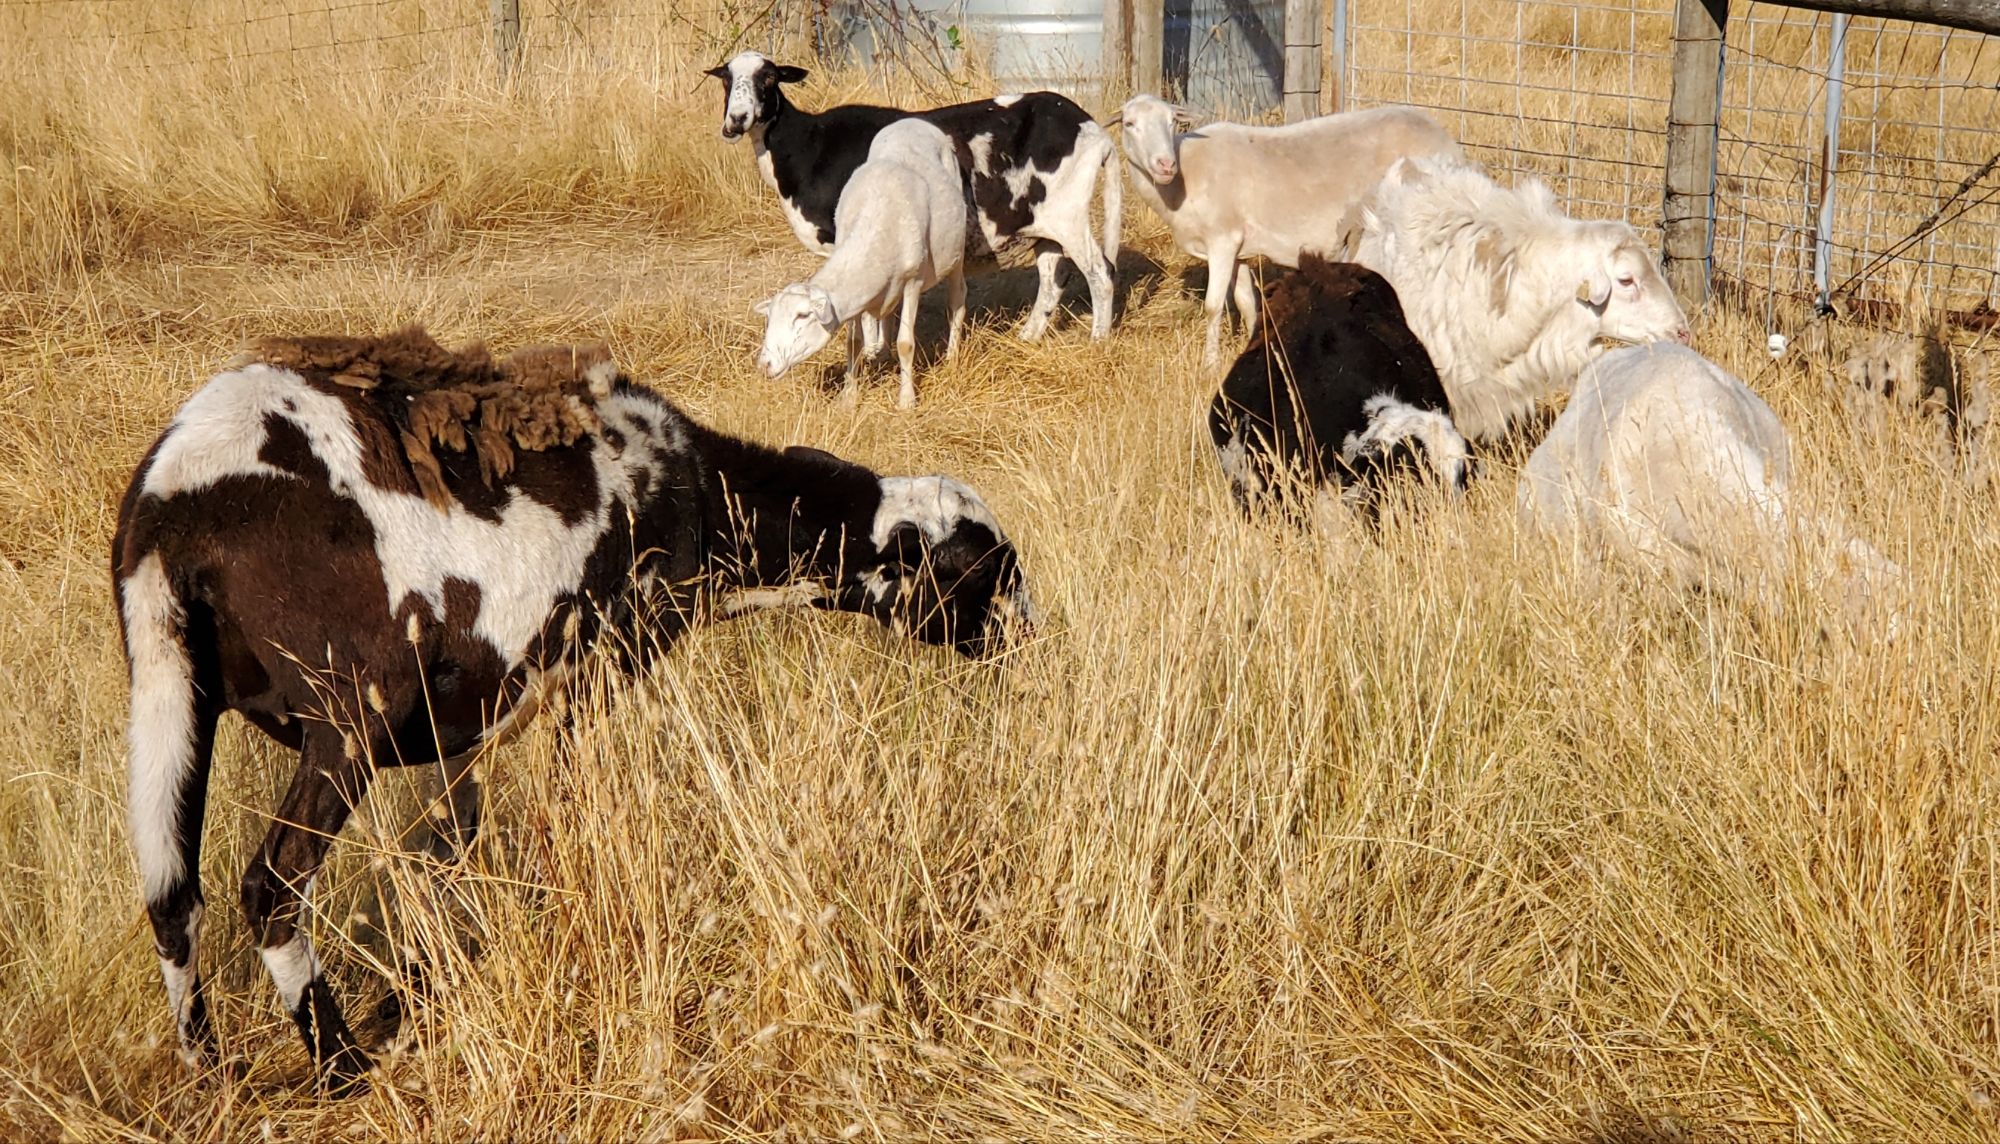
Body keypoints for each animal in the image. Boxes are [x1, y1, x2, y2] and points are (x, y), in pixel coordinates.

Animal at [113, 328, 1035, 1094]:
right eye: (978, 568)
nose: (1030, 640)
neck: (708, 499)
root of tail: (172, 506)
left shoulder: (461, 721)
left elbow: (449, 850)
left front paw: (433, 980)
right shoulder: (603, 668)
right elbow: (565, 814)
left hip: (171, 689)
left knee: (173, 899)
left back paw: (210, 1070)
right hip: (349, 716)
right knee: (273, 885)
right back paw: (340, 1070)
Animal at [755, 118, 967, 410]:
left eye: (802, 316)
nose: (765, 365)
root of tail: (915, 120)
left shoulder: (913, 282)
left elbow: (906, 343)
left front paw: (906, 401)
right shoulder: (856, 299)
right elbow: (853, 343)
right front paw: (849, 396)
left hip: (956, 253)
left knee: (957, 300)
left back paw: (952, 358)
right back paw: (882, 353)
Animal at [1112, 94, 1462, 366]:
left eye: (1172, 121)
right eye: (1129, 124)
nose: (1165, 164)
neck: (1183, 179)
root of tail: (1447, 141)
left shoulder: (1222, 240)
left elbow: (1213, 307)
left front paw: (1210, 364)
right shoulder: (1238, 249)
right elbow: (1247, 304)